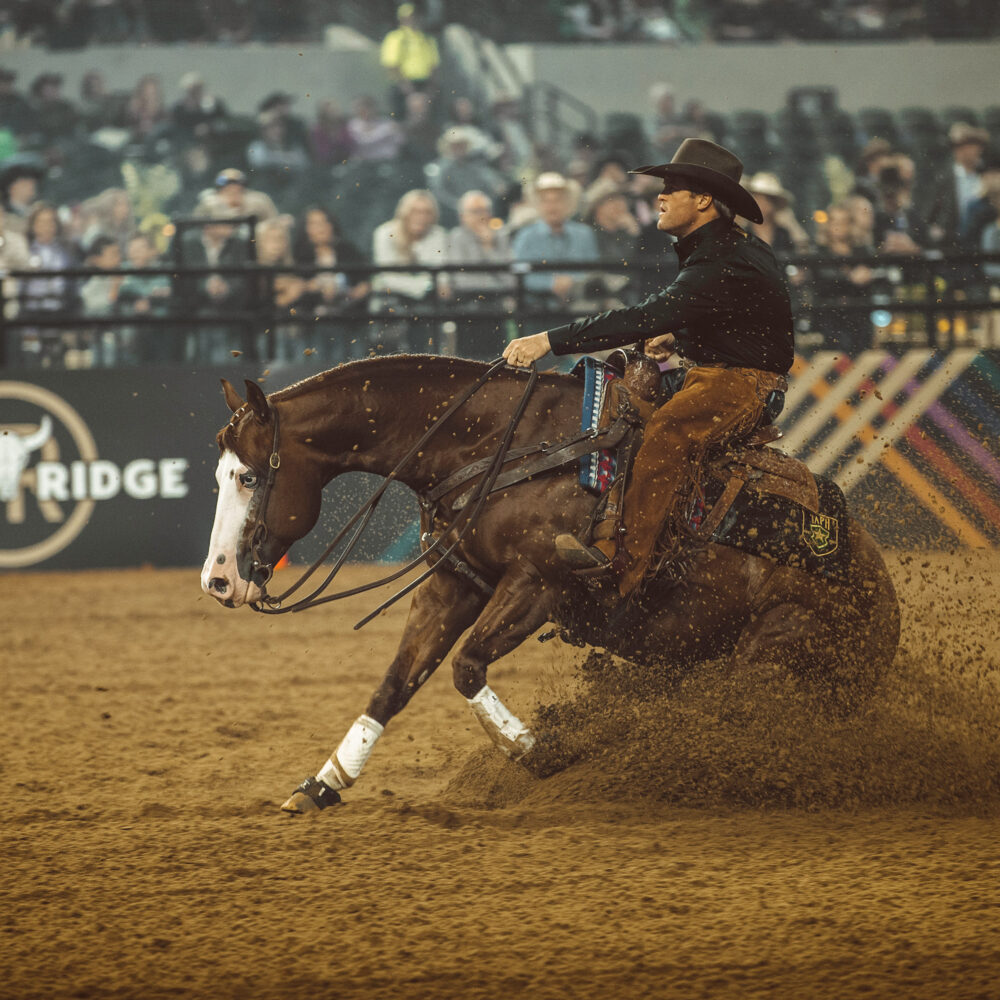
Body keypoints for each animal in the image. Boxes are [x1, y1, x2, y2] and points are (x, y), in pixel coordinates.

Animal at [200, 354, 900, 814]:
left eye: (248, 476)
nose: (218, 580)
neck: (501, 444)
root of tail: (887, 614)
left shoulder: (537, 582)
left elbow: (467, 669)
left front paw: (542, 753)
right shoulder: (455, 582)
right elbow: (397, 683)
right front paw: (325, 782)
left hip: (776, 644)